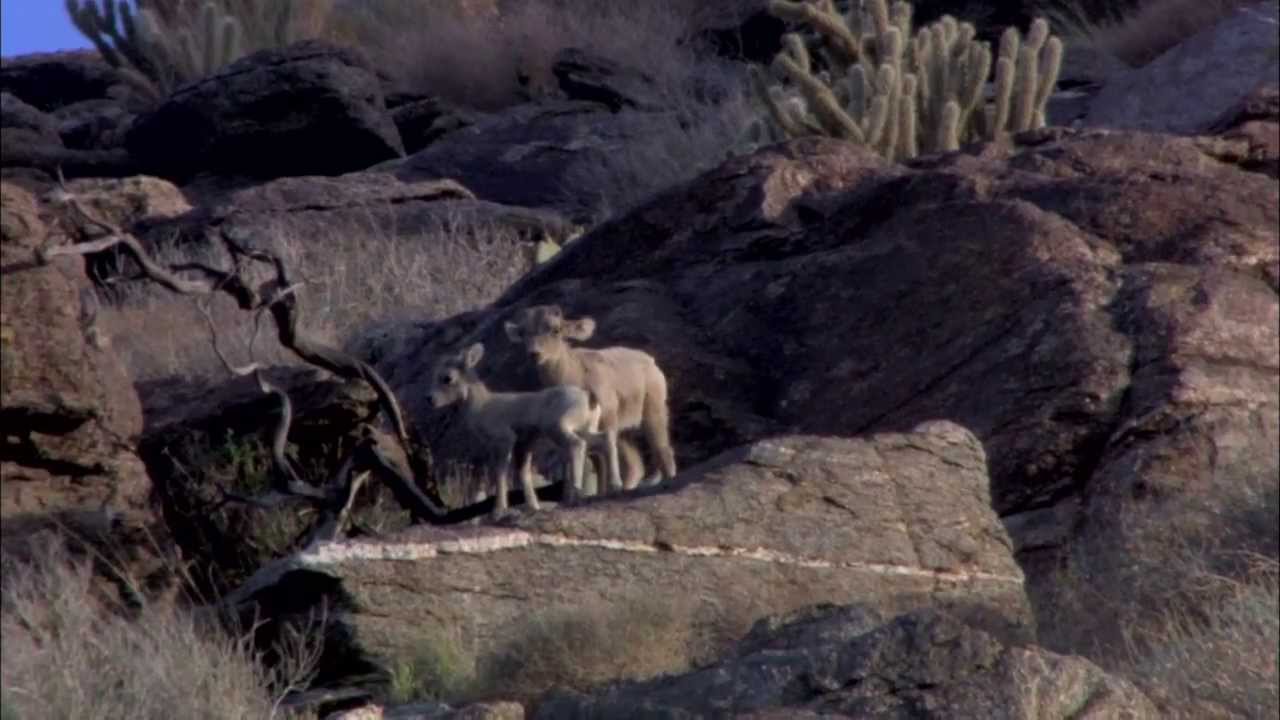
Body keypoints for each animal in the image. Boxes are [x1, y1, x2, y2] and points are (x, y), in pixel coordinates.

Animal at [427, 342, 601, 516]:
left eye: (447, 378)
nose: (430, 399)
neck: (482, 407)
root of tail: (588, 397)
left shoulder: (505, 441)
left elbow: (500, 473)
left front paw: (498, 510)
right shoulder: (522, 446)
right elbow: (523, 475)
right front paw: (533, 507)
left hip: (558, 429)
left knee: (577, 445)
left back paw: (574, 497)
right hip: (584, 431)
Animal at [504, 304, 677, 494]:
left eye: (556, 330)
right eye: (523, 333)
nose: (534, 354)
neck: (576, 375)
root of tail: (651, 362)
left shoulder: (606, 421)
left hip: (653, 414)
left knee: (662, 450)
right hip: (625, 434)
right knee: (635, 467)